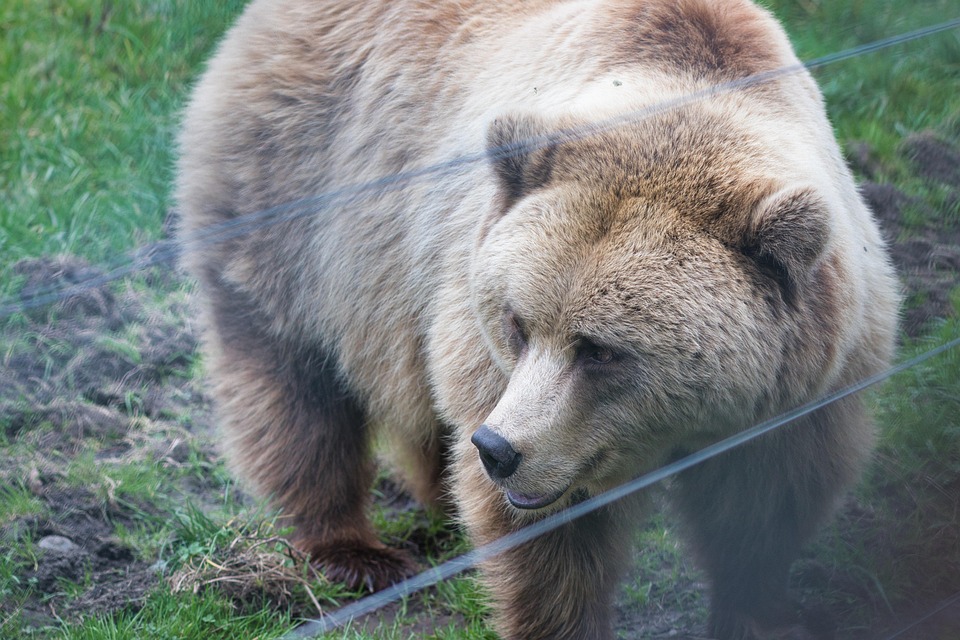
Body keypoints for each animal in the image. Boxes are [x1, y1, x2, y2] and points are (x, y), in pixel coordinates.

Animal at [175, 0, 901, 638]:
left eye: (602, 349)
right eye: (518, 324)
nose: (498, 448)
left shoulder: (805, 388)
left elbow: (766, 506)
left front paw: (761, 612)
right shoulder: (489, 347)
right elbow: (551, 547)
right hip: (296, 198)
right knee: (296, 386)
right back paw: (356, 552)